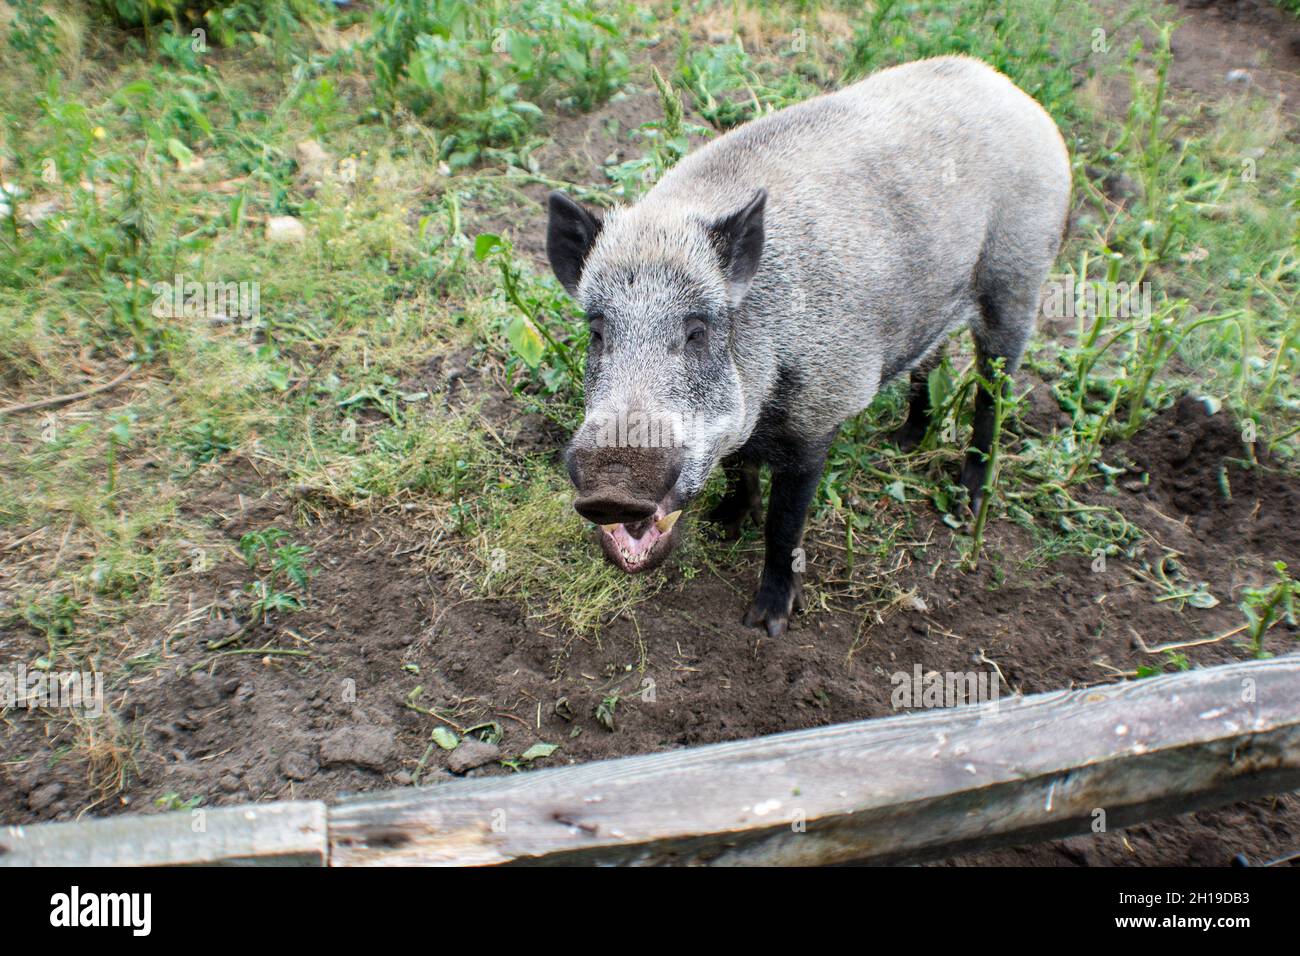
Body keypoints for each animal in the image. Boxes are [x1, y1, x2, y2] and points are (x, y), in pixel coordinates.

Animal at [545, 55, 1071, 636]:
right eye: (597, 331)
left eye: (697, 331)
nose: (611, 486)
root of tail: (1007, 87)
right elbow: (739, 468)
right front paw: (727, 524)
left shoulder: (820, 415)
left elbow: (785, 525)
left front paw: (766, 623)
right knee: (932, 363)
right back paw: (904, 442)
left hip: (1019, 277)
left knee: (992, 387)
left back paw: (969, 495)